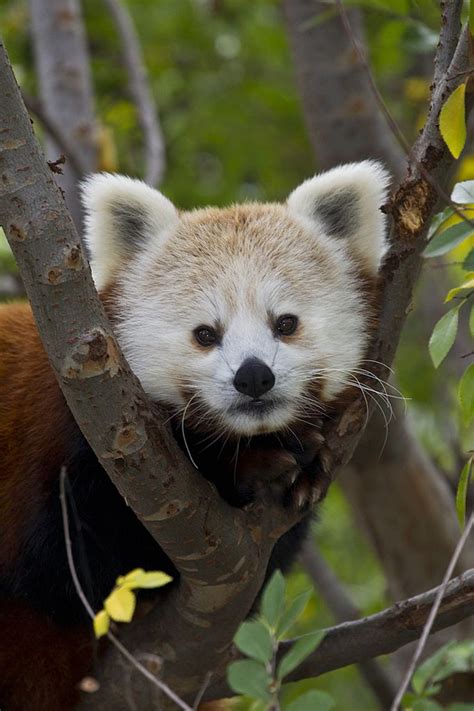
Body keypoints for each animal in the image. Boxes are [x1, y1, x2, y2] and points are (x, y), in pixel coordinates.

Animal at [0, 160, 389, 710]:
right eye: (206, 334)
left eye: (285, 323)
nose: (253, 376)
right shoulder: (69, 443)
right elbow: (66, 569)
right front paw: (252, 467)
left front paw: (301, 467)